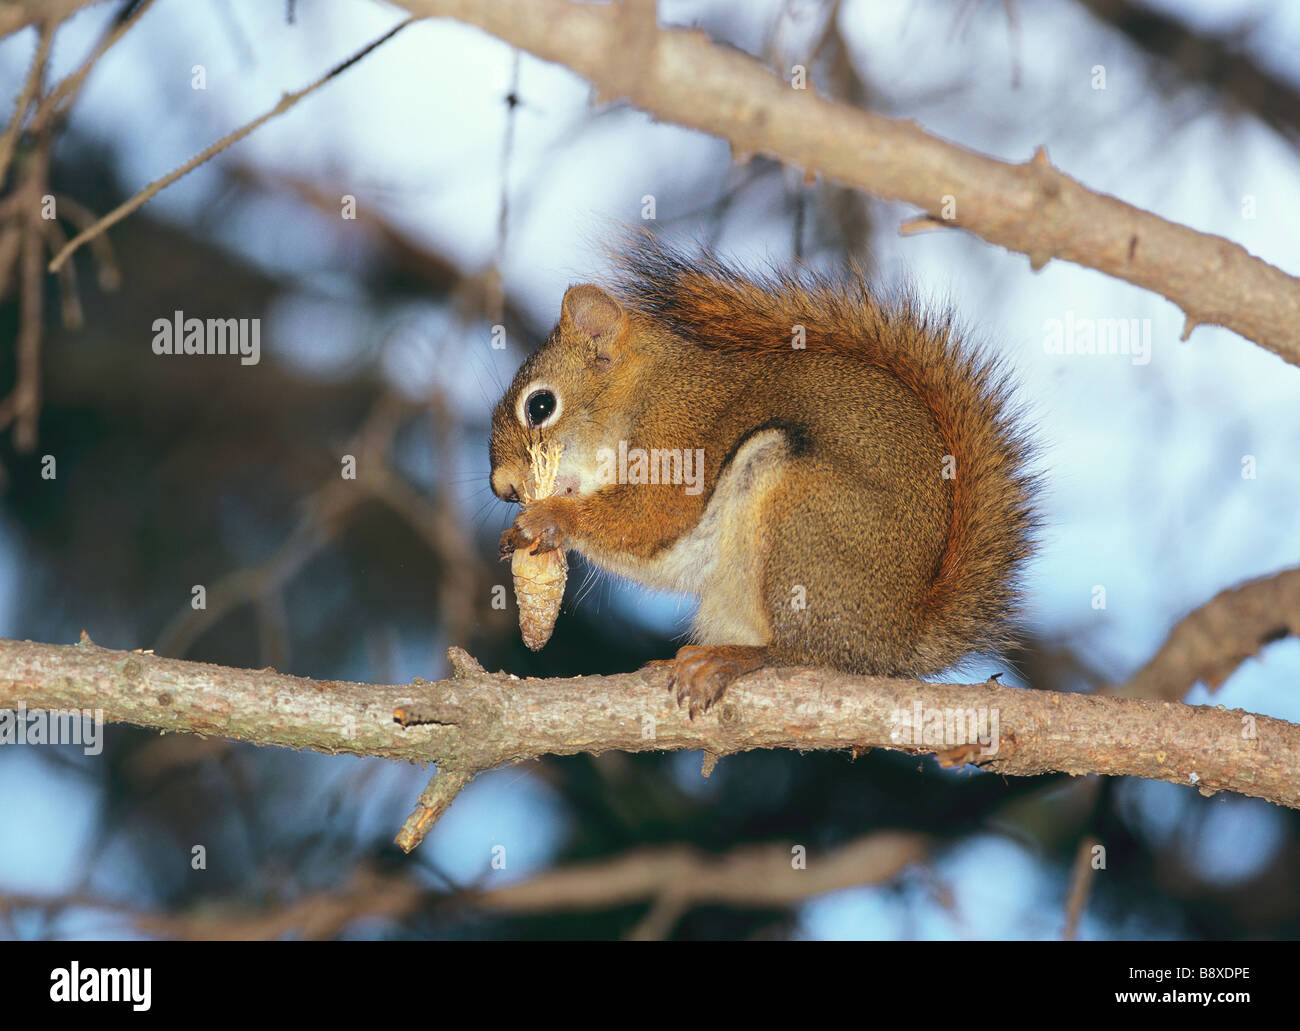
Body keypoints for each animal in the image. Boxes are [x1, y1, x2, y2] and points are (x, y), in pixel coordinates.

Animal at [491, 232, 1038, 717]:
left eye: (540, 405)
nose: (504, 489)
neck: (642, 392)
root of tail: (895, 638)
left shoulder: (679, 435)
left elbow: (653, 515)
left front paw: (549, 518)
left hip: (804, 524)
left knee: (807, 654)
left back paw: (736, 659)